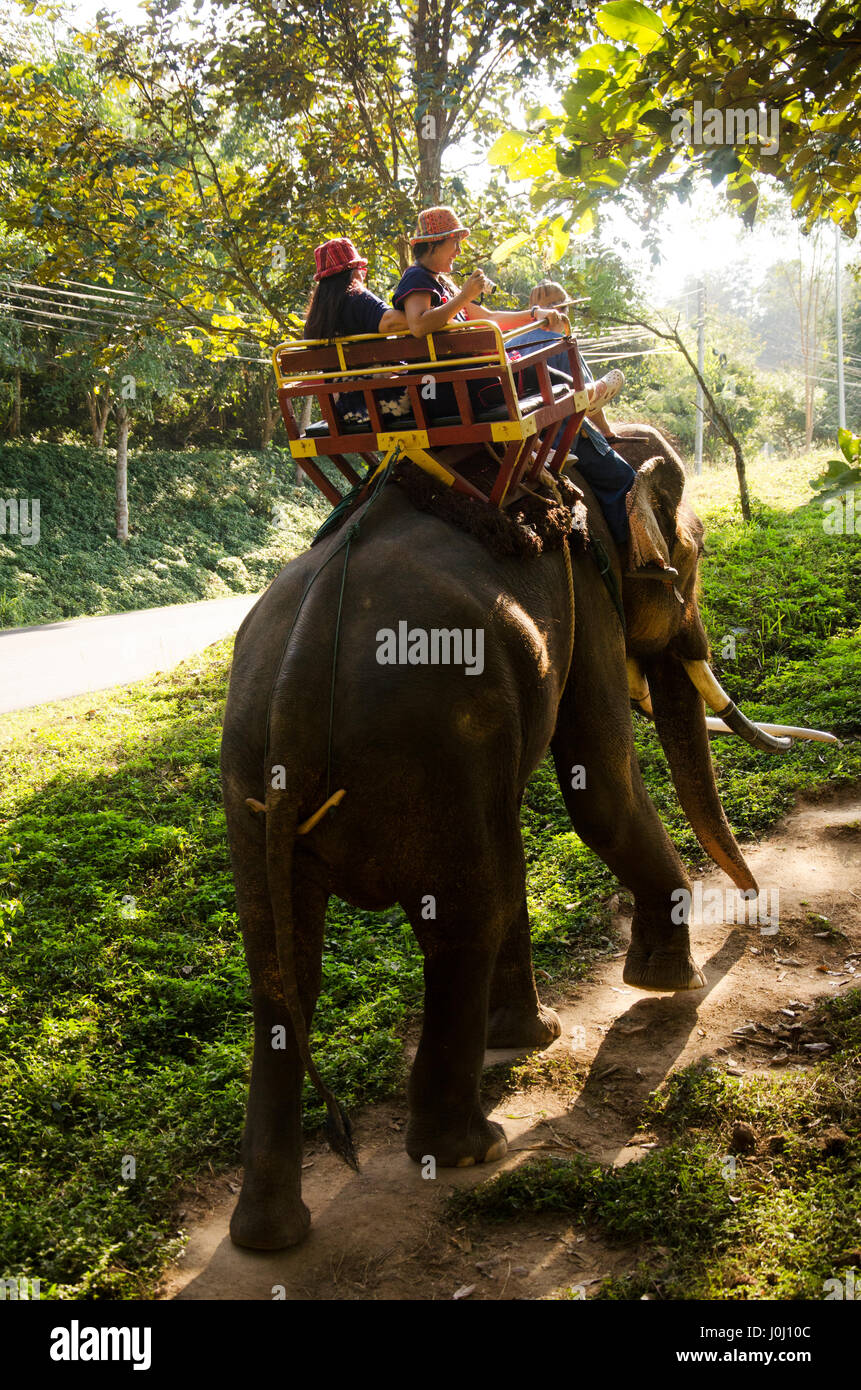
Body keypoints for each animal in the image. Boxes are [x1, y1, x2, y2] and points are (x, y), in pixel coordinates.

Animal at [219, 426, 803, 1251]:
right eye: (691, 559)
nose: (752, 905)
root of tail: (299, 676)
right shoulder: (587, 596)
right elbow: (601, 788)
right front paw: (666, 984)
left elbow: (522, 829)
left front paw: (533, 1034)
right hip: (430, 739)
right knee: (466, 917)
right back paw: (472, 1148)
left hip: (251, 782)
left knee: (279, 965)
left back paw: (269, 1236)